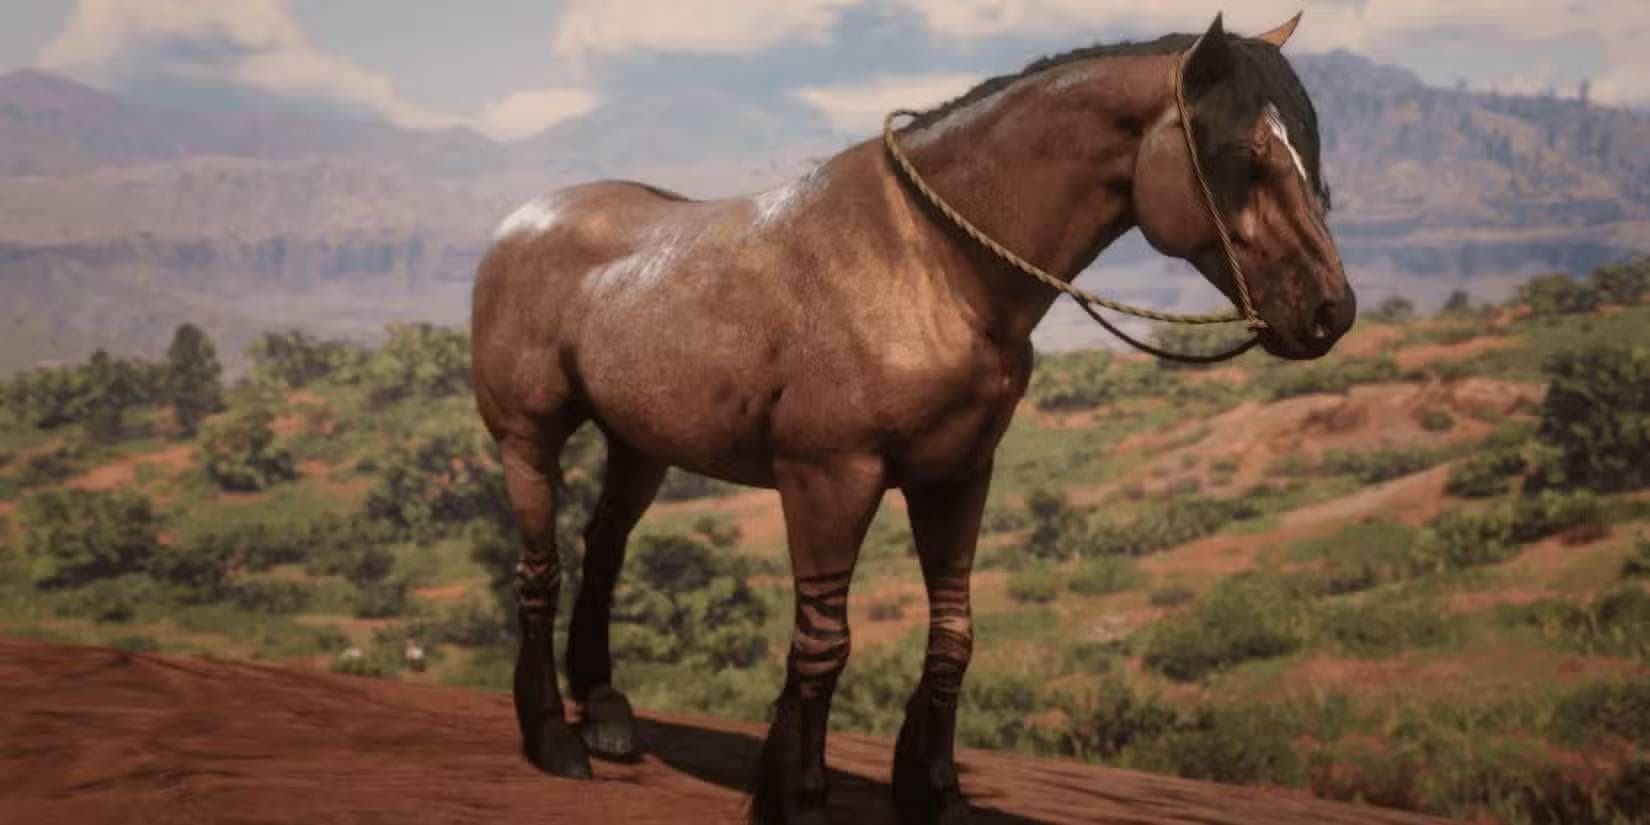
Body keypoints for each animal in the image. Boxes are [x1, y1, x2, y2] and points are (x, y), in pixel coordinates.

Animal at [470, 12, 1353, 824]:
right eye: (1246, 157)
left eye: (1309, 158)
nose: (1330, 312)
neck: (934, 265)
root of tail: (522, 224)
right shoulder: (830, 478)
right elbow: (823, 644)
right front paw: (795, 794)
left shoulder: (956, 476)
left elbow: (952, 635)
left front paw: (931, 787)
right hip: (528, 440)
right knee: (542, 567)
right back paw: (554, 737)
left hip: (639, 444)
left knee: (605, 548)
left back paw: (607, 716)